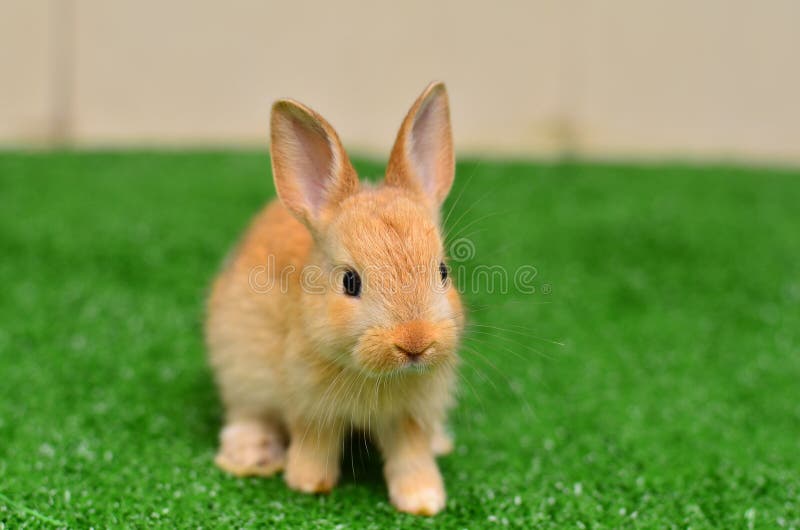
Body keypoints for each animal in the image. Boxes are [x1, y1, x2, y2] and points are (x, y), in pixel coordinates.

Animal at [205, 81, 464, 516]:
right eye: (350, 281)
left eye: (443, 271)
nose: (415, 343)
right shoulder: (311, 409)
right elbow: (314, 445)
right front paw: (309, 484)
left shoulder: (410, 415)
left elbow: (411, 455)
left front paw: (423, 501)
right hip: (239, 367)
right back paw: (252, 454)